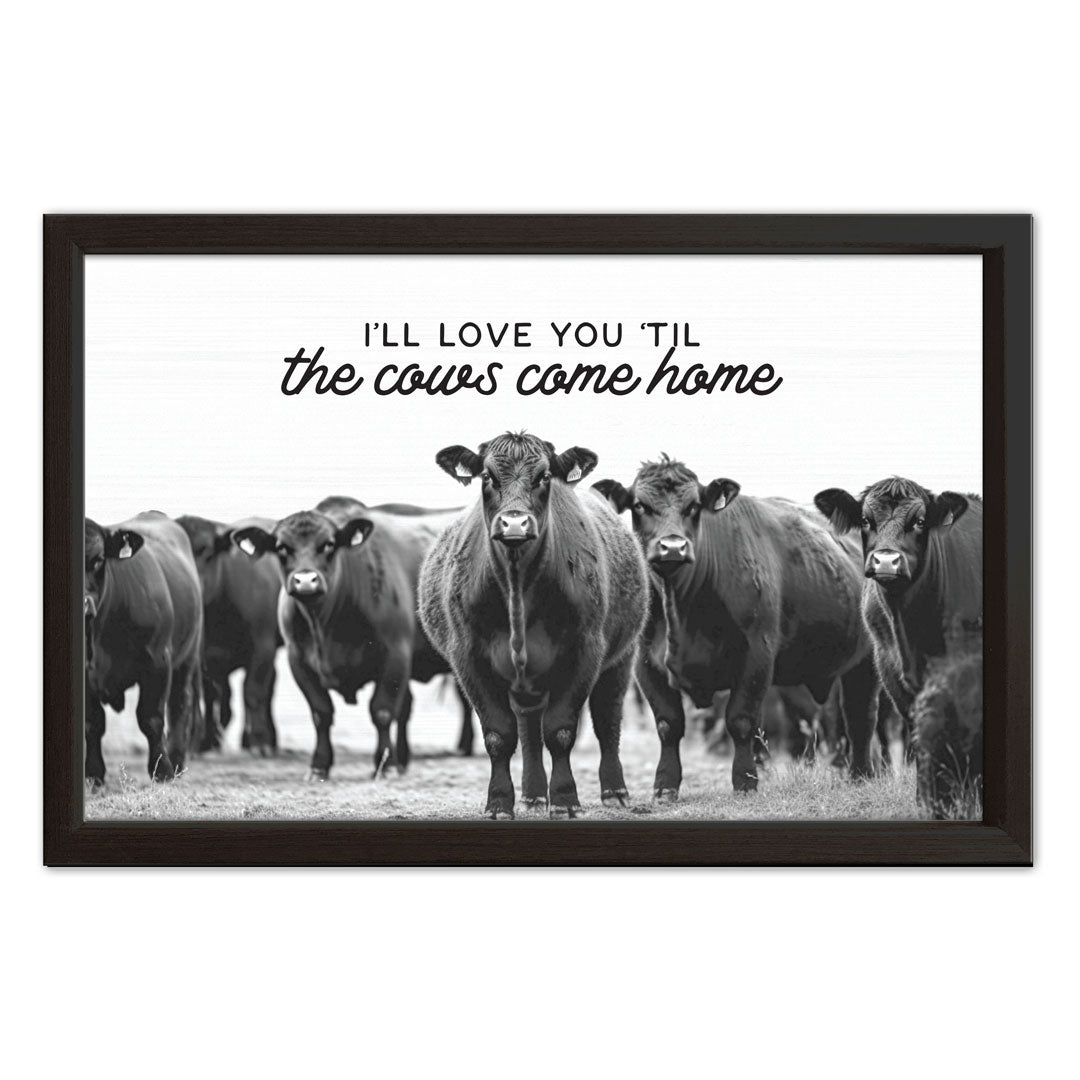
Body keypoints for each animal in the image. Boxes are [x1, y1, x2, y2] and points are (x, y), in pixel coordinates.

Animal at [83, 512, 203, 785]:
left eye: (98, 559)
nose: (84, 606)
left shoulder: (157, 663)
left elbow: (151, 718)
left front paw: (162, 770)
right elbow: (93, 722)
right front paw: (93, 774)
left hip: (186, 658)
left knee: (180, 704)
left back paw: (177, 761)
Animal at [175, 514, 283, 755]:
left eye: (206, 551)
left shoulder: (263, 646)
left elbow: (253, 692)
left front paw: (260, 742)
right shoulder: (202, 656)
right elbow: (207, 694)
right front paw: (201, 741)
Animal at [231, 497, 471, 779]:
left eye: (329, 544)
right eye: (281, 547)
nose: (306, 581)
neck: (325, 627)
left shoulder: (396, 654)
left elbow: (382, 711)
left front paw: (386, 765)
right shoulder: (298, 660)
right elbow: (321, 713)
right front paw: (319, 765)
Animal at [419, 432, 649, 819]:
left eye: (544, 476)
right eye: (487, 476)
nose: (514, 523)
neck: (518, 587)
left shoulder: (583, 652)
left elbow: (561, 731)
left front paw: (566, 800)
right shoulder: (469, 659)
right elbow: (500, 736)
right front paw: (499, 803)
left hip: (621, 657)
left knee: (607, 719)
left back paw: (614, 791)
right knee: (528, 730)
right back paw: (532, 795)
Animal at [593, 457, 878, 796]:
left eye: (694, 506)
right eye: (640, 505)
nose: (673, 547)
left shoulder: (756, 655)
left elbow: (741, 721)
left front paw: (745, 780)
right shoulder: (646, 662)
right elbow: (668, 724)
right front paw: (665, 785)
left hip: (867, 661)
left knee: (860, 716)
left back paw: (861, 774)